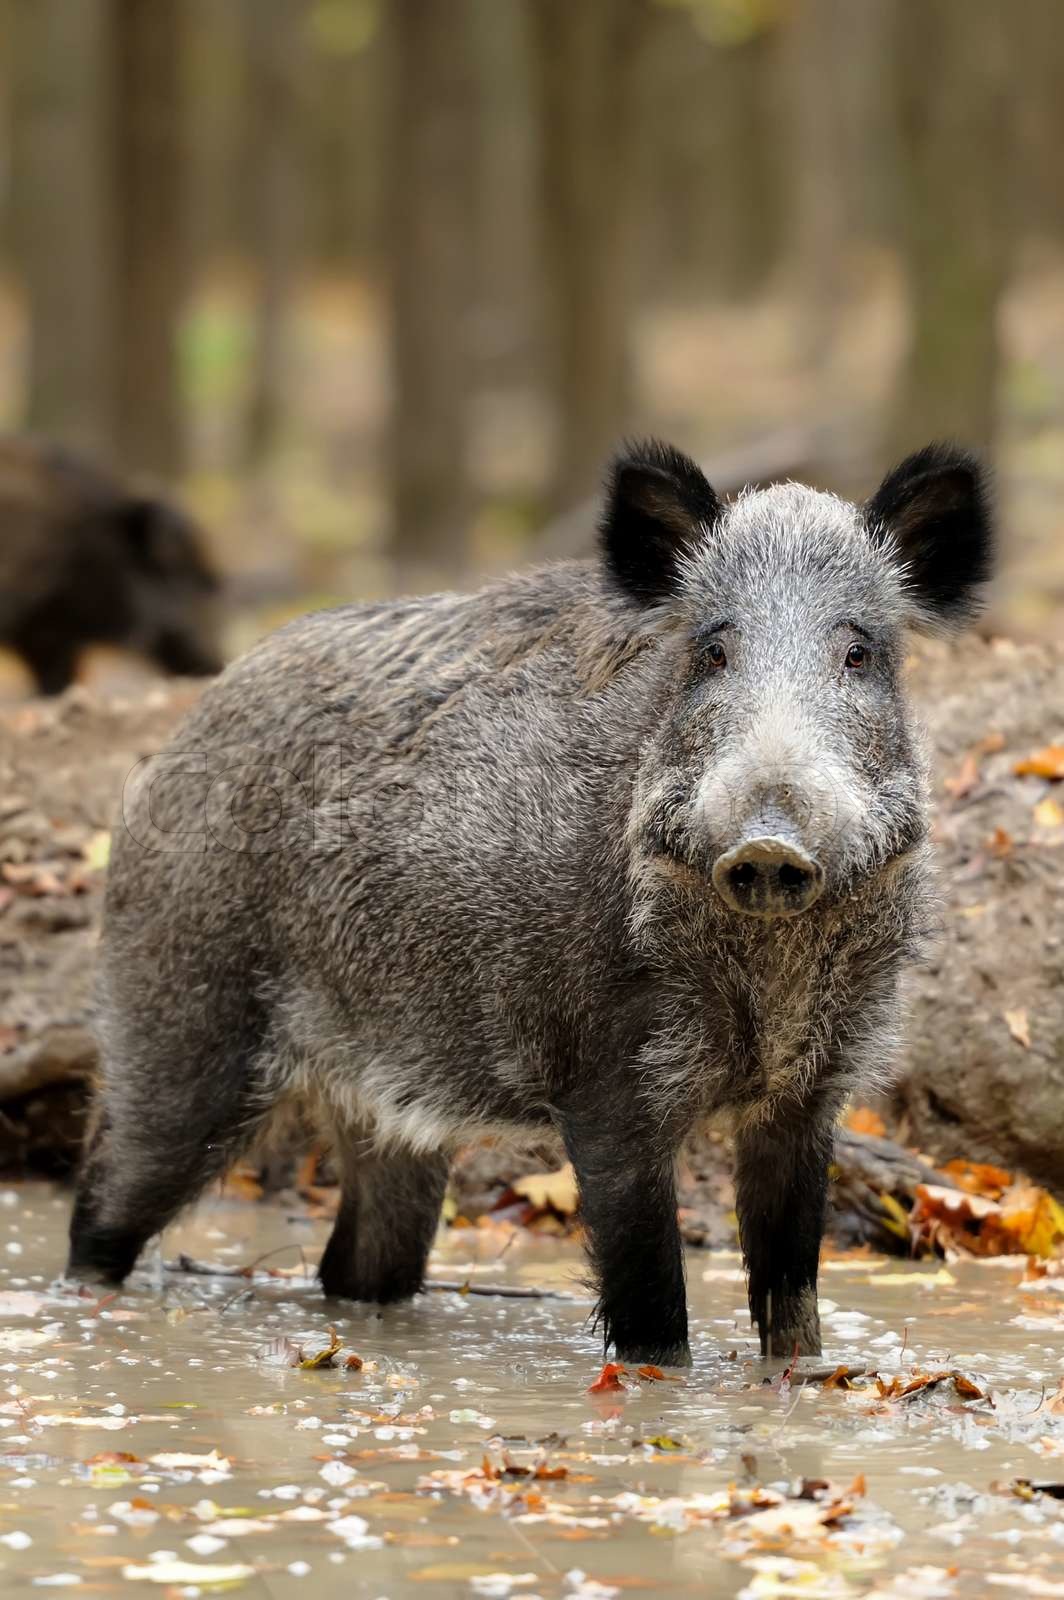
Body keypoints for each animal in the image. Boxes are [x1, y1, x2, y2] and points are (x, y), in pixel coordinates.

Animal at [67, 440, 993, 1364]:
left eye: (859, 654)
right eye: (713, 653)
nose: (767, 846)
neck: (770, 979)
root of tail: (187, 729)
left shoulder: (810, 1095)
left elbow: (794, 1304)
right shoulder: (609, 1085)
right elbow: (653, 1318)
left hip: (385, 1114)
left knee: (359, 1265)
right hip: (178, 1018)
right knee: (100, 1209)